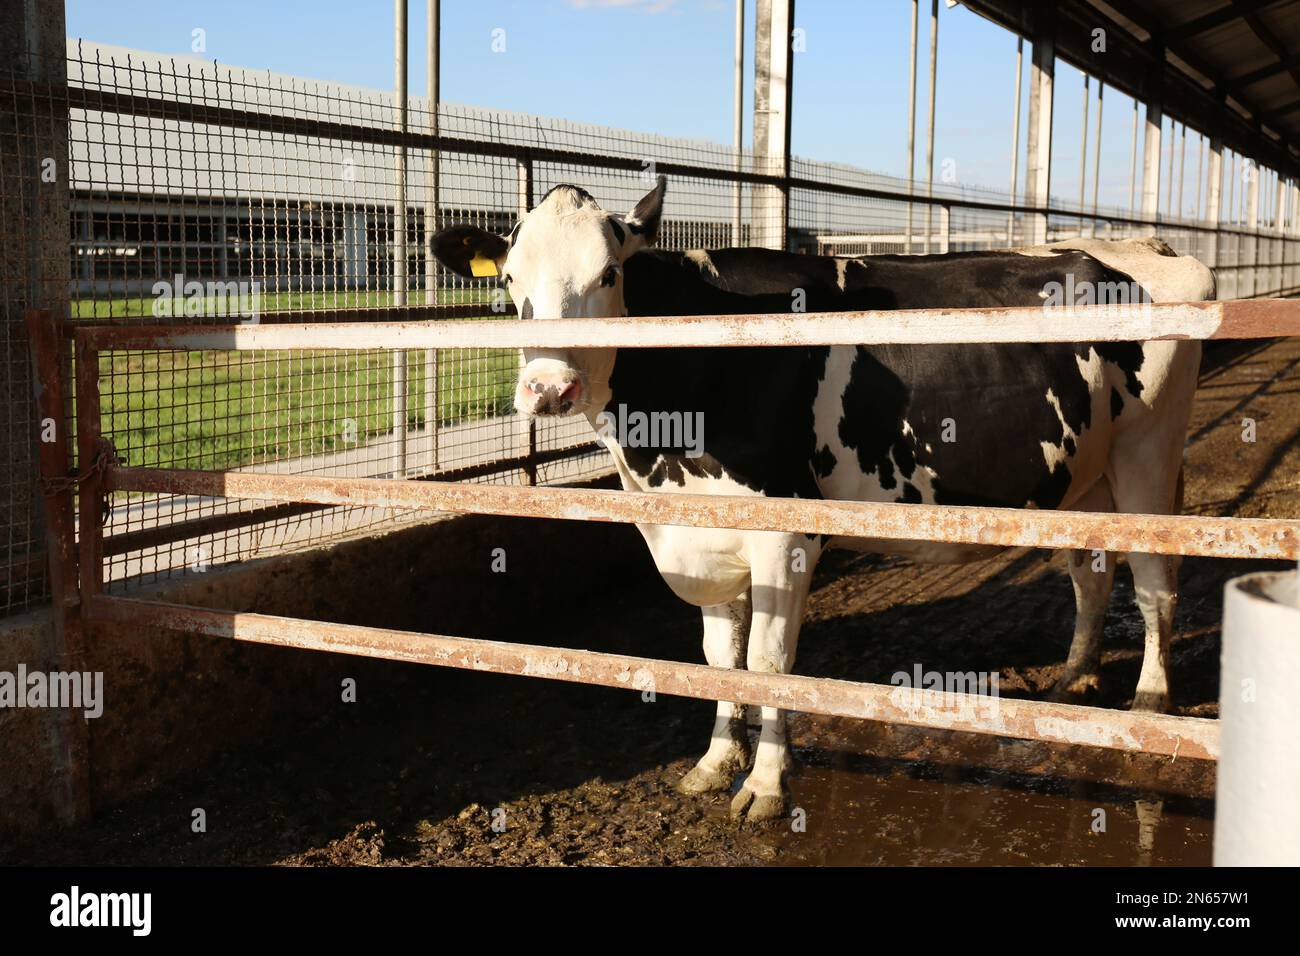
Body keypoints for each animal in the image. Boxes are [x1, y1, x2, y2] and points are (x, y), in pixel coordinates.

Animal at [433, 177, 1214, 822]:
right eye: (509, 279)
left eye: (609, 273)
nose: (548, 389)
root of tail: (1149, 250)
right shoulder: (700, 528)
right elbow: (720, 657)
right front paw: (716, 762)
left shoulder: (785, 534)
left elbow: (771, 664)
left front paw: (765, 786)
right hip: (1087, 474)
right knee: (1091, 572)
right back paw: (1076, 677)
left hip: (1146, 456)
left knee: (1154, 581)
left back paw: (1149, 699)